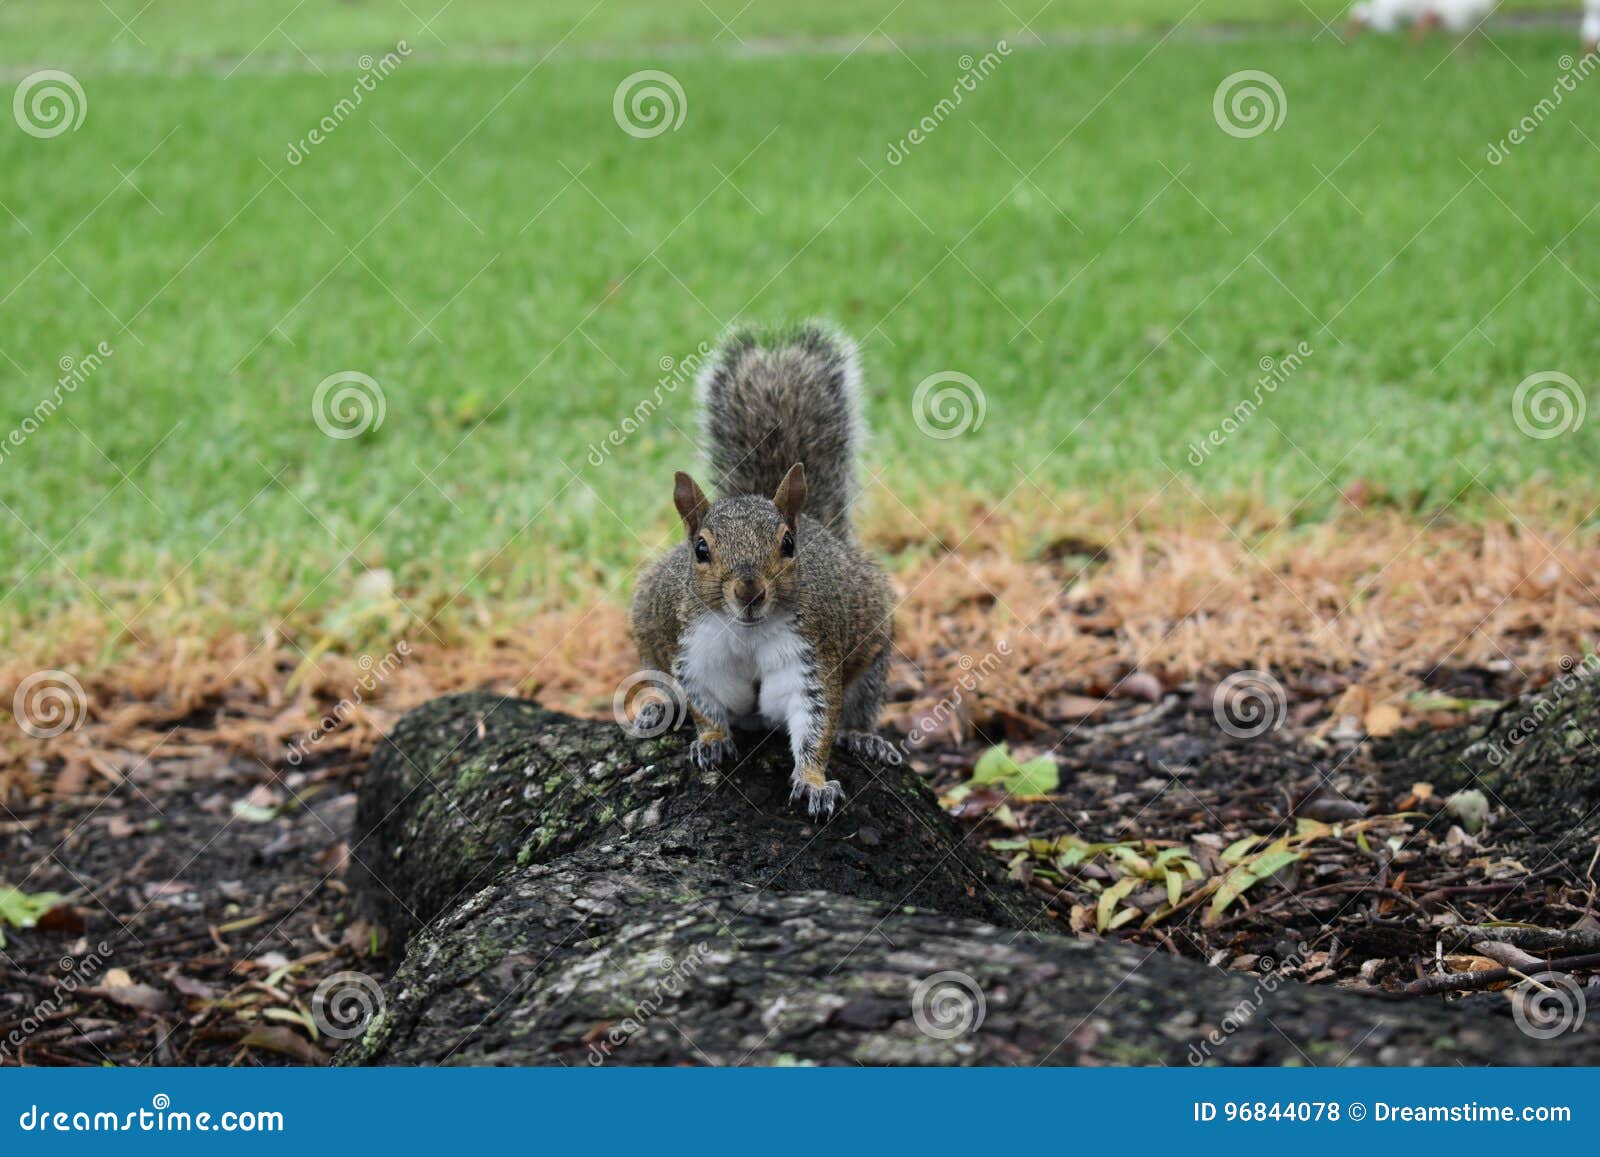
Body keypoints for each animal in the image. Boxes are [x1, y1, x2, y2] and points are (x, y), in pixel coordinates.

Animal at [631, 321, 903, 818]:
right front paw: (711, 741)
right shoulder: (693, 650)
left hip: (874, 649)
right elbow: (703, 702)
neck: (748, 630)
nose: (750, 592)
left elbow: (816, 718)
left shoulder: (811, 652)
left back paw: (865, 737)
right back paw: (658, 708)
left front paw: (814, 782)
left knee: (858, 707)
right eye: (701, 549)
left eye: (788, 545)